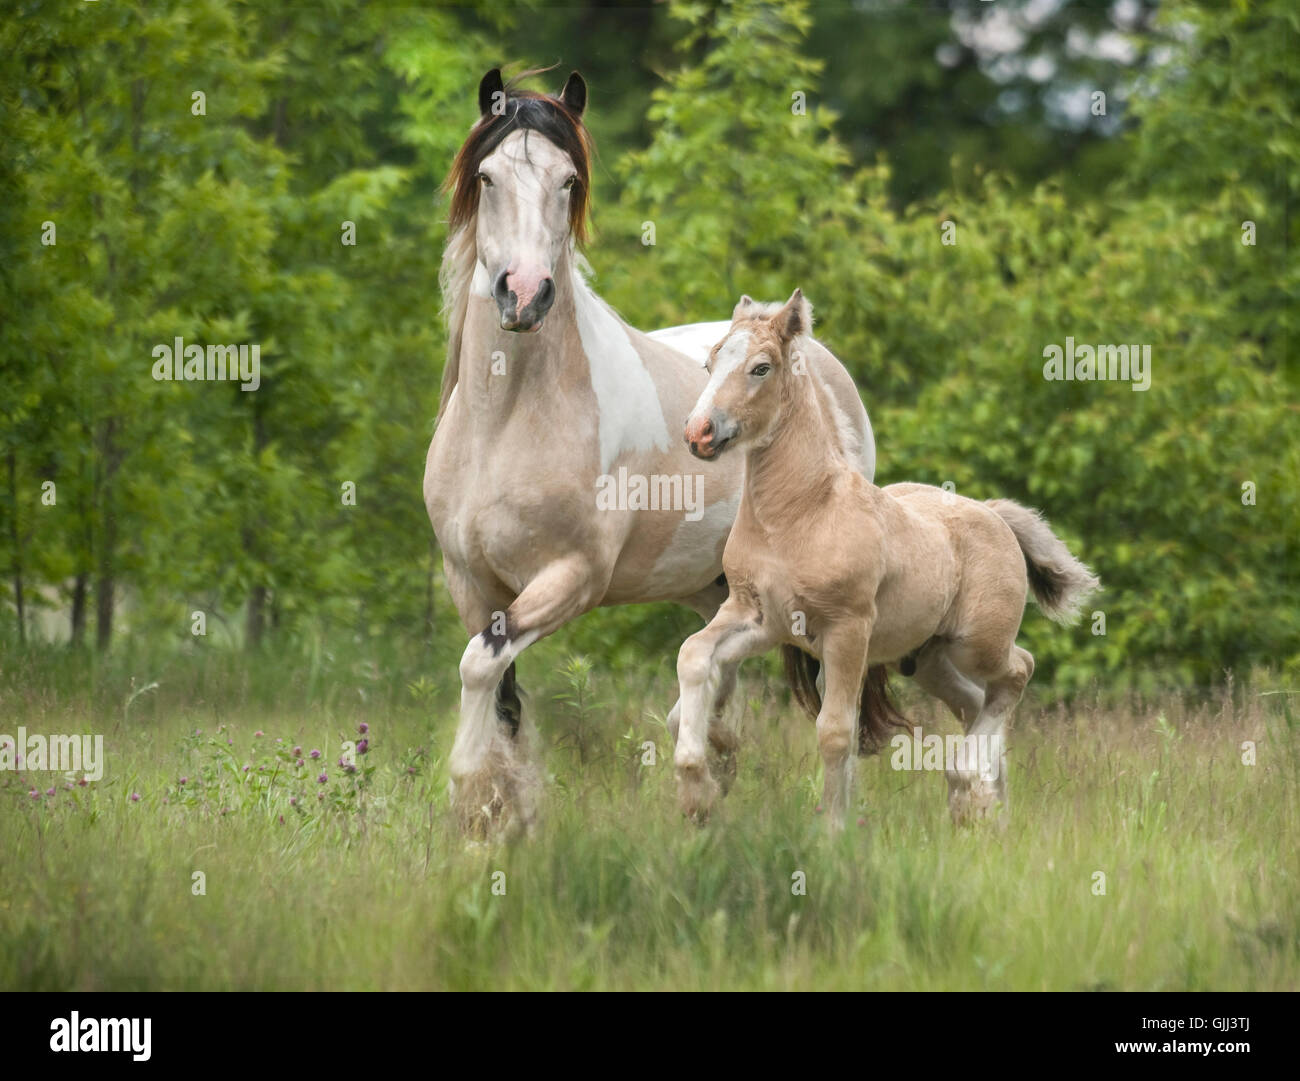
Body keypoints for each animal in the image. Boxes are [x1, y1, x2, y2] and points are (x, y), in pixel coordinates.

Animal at [423, 69, 876, 835]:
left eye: (569, 180)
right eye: (486, 177)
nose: (524, 294)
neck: (508, 419)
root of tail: (817, 358)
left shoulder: (571, 578)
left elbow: (479, 667)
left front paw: (476, 795)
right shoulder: (472, 581)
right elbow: (502, 689)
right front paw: (501, 815)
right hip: (715, 586)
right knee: (717, 679)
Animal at [675, 290, 1100, 827]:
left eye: (760, 368)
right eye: (710, 363)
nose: (699, 433)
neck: (796, 515)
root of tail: (992, 512)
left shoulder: (846, 629)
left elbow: (836, 732)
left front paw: (832, 829)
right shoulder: (756, 618)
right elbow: (693, 656)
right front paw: (697, 791)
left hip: (976, 643)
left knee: (1018, 670)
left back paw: (970, 783)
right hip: (926, 656)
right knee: (976, 699)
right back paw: (980, 804)